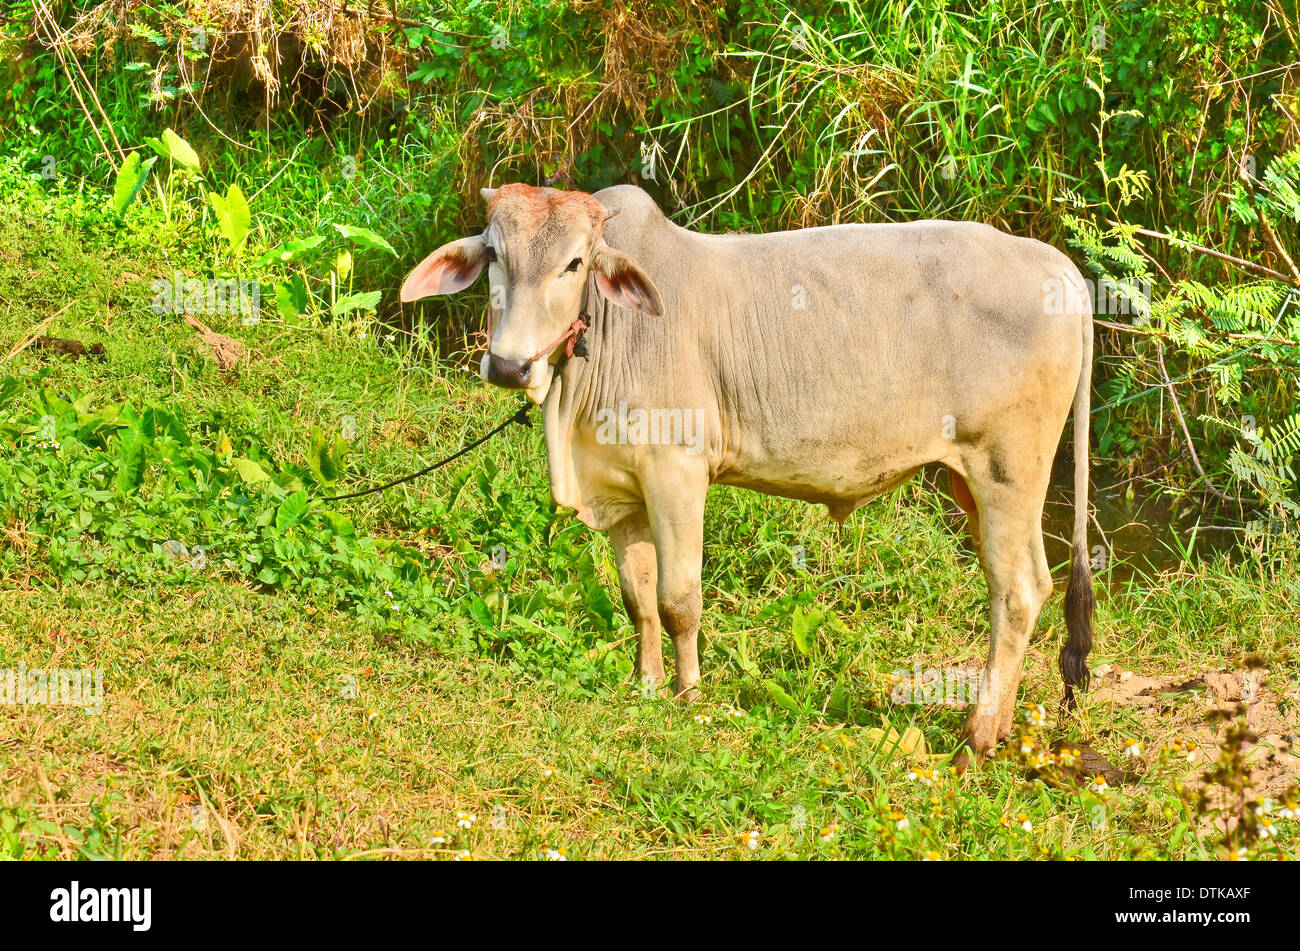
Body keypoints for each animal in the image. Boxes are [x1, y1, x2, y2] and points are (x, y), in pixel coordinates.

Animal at [401, 183, 1095, 760]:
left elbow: (679, 600)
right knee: (1030, 583)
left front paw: (688, 696)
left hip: (1008, 471)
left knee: (1017, 591)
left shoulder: (677, 472)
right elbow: (638, 600)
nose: (509, 365)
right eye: (495, 254)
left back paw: (978, 734)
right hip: (978, 483)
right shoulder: (625, 494)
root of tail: (1060, 270)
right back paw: (1000, 724)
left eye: (574, 263)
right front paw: (646, 686)